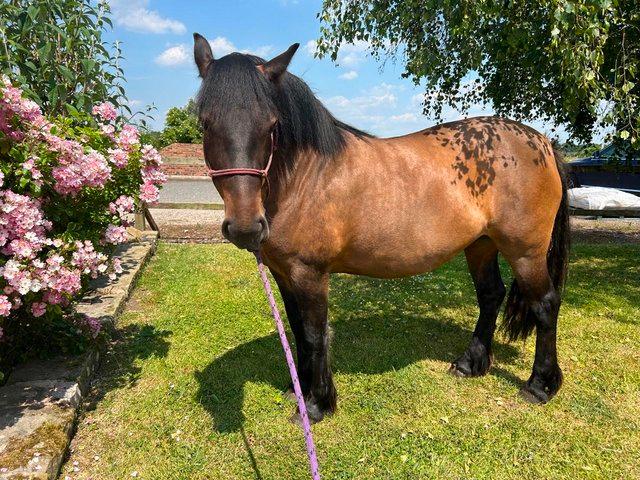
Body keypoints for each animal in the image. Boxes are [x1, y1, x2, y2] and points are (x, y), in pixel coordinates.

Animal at [192, 33, 570, 423]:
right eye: (205, 124)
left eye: (271, 126)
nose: (245, 228)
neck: (306, 178)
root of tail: (543, 142)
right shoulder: (284, 273)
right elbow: (296, 330)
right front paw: (299, 390)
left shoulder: (310, 274)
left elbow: (314, 335)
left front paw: (316, 405)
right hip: (481, 244)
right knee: (491, 295)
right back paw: (470, 363)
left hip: (525, 251)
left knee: (545, 303)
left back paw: (540, 385)